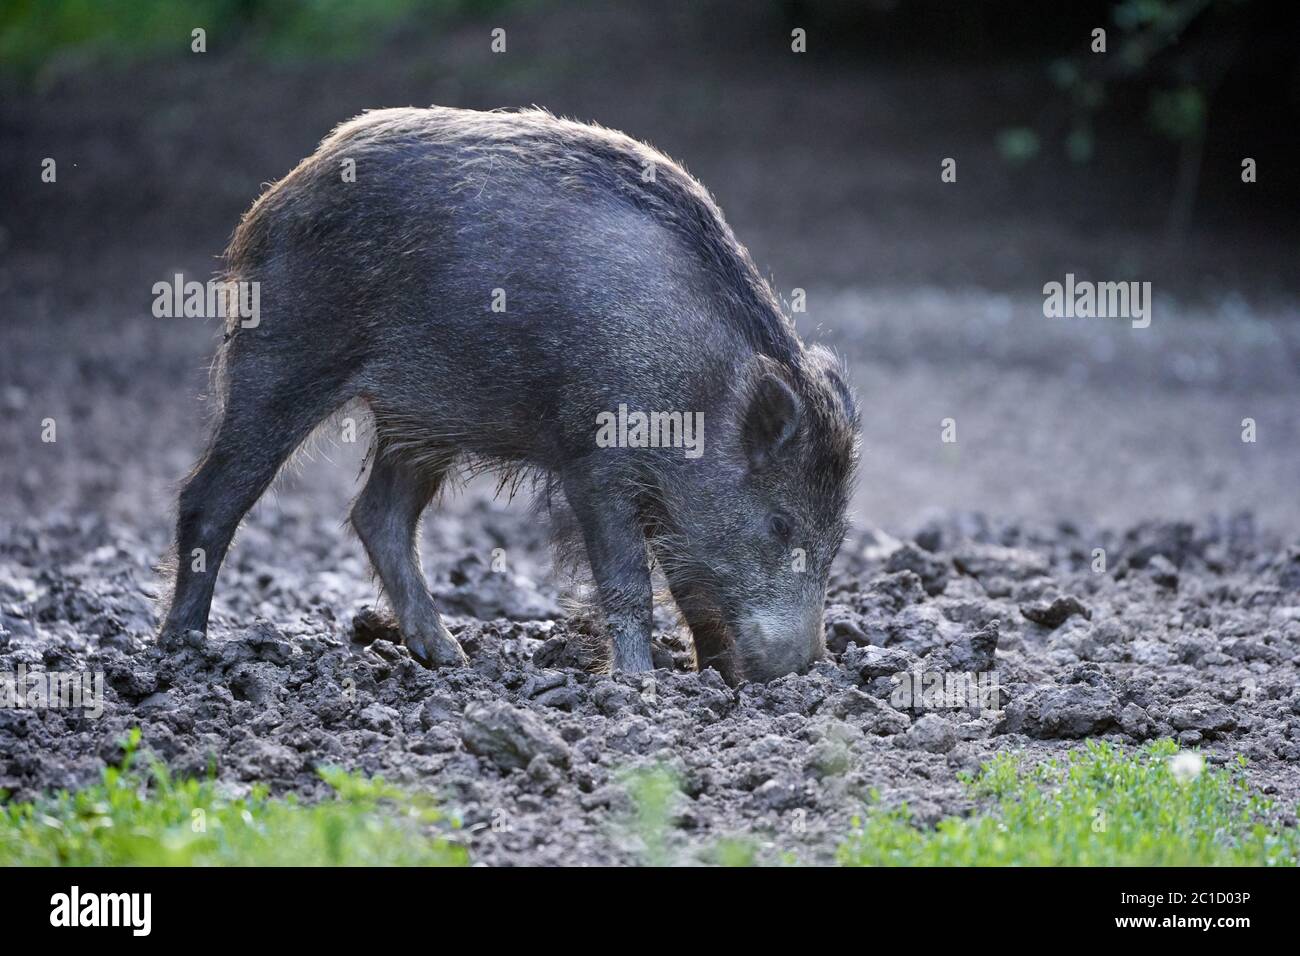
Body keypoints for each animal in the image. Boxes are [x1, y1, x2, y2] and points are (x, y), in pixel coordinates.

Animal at [160, 106, 859, 684]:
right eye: (780, 524)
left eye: (837, 536)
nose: (804, 668)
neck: (698, 394)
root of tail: (272, 203)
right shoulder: (594, 463)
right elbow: (629, 580)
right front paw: (639, 685)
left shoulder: (671, 500)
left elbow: (691, 583)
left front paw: (717, 676)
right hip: (282, 361)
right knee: (212, 496)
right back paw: (184, 648)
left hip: (420, 419)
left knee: (379, 515)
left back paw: (447, 657)